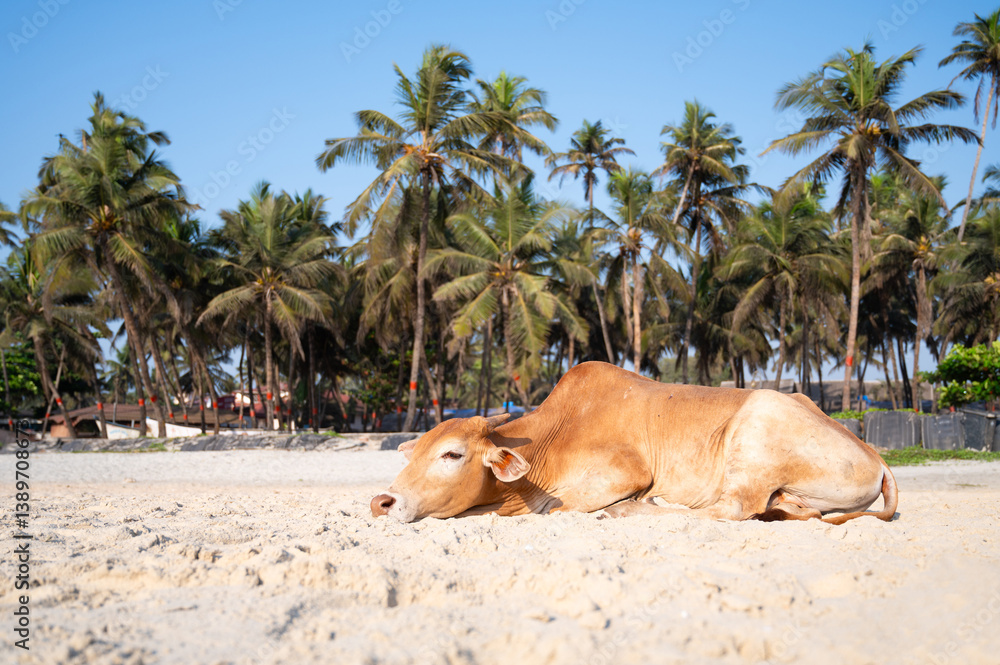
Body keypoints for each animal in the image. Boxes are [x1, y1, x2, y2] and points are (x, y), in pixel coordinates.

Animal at [370, 362, 897, 525]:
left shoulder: (624, 472)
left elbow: (561, 508)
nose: (382, 502)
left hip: (759, 423)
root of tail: (876, 455)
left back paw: (645, 508)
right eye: (412, 455)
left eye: (452, 454)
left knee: (733, 508)